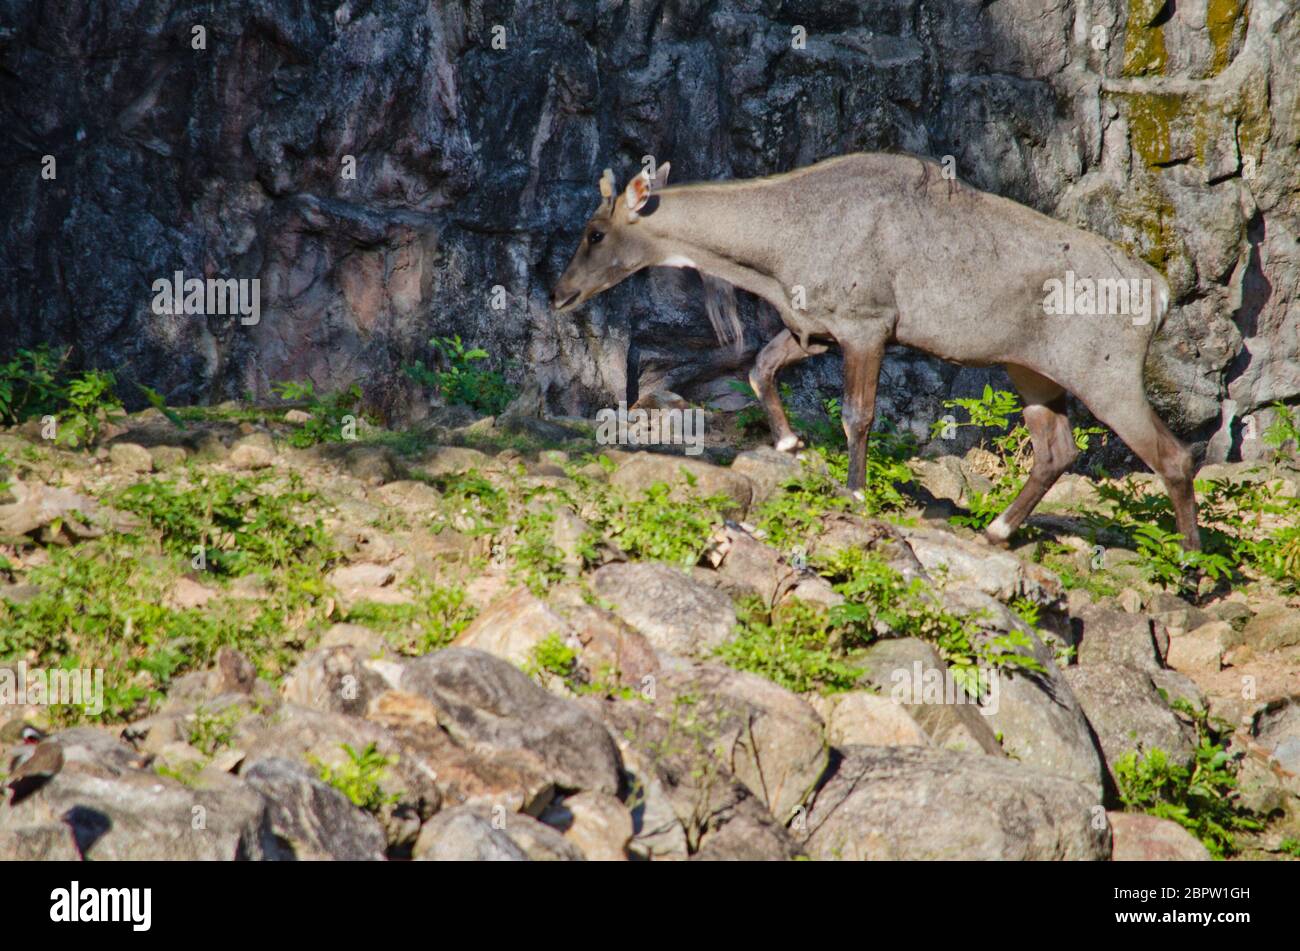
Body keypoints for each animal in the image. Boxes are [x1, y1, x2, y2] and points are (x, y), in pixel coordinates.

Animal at [550, 154, 1200, 550]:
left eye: (595, 232)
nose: (559, 293)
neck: (775, 247)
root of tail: (1160, 293)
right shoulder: (813, 328)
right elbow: (759, 367)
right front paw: (788, 443)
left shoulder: (867, 327)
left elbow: (856, 415)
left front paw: (856, 492)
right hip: (1031, 373)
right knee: (1057, 451)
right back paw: (995, 530)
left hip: (1107, 378)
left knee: (1174, 456)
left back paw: (1190, 566)